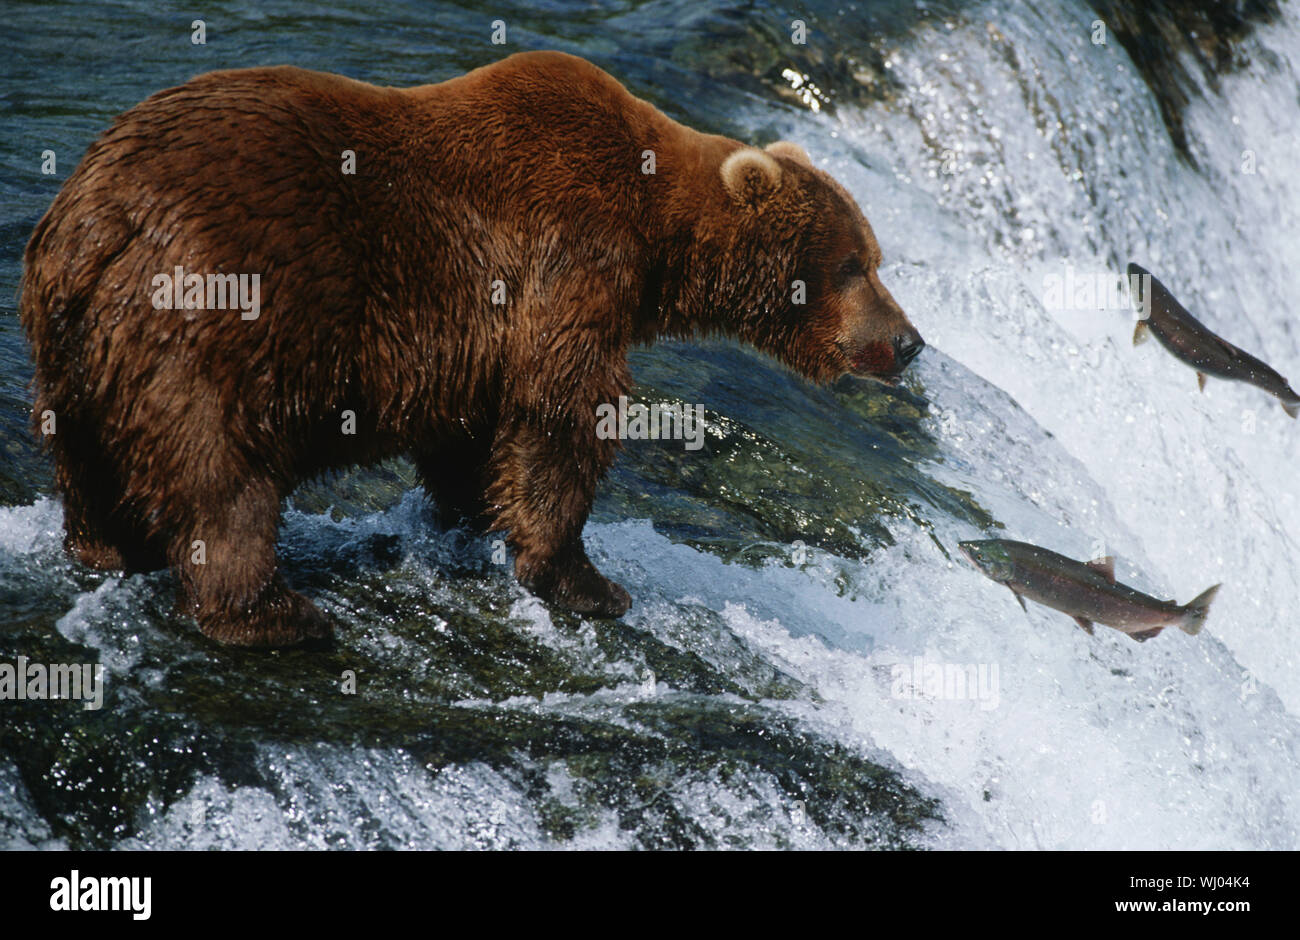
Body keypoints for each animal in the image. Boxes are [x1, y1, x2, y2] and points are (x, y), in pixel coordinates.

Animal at [20, 51, 924, 647]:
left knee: (86, 450)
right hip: (222, 309)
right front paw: (587, 581)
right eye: (853, 264)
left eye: (877, 257)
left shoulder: (475, 336)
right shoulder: (570, 258)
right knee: (221, 465)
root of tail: (95, 214)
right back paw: (269, 612)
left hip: (75, 340)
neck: (655, 233)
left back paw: (108, 545)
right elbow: (562, 414)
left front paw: (471, 517)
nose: (909, 342)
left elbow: (474, 432)